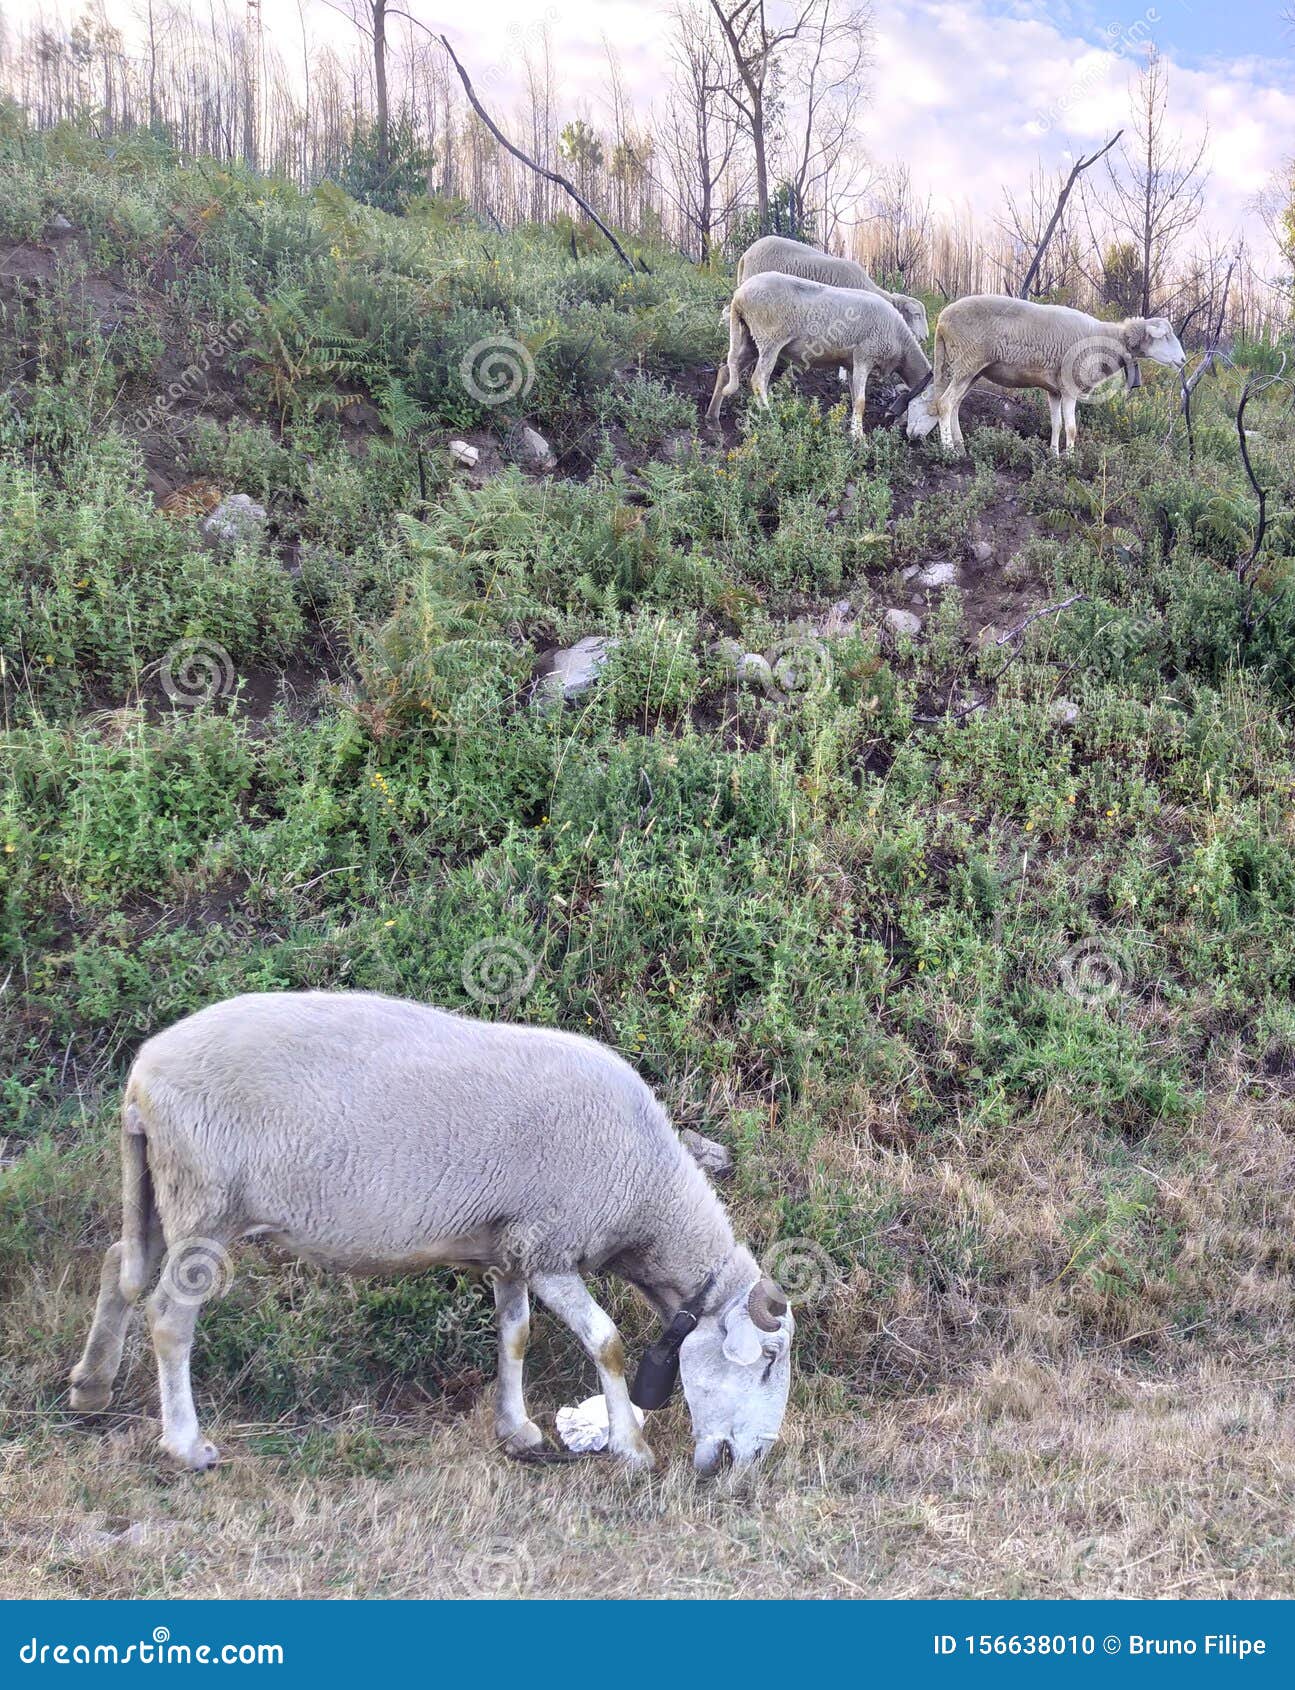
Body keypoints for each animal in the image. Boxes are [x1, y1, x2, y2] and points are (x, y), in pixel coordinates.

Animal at [68, 991, 794, 1476]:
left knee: (120, 1265)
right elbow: (608, 1343)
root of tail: (142, 1072)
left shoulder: (511, 1248)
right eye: (765, 1361)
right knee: (168, 1316)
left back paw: (91, 1389)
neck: (648, 1197)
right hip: (205, 1200)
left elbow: (515, 1334)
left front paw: (518, 1431)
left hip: (162, 1186)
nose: (755, 1458)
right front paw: (631, 1447)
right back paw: (187, 1446)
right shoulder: (549, 1245)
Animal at [708, 235, 928, 423]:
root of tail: (746, 255)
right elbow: (859, 398)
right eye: (917, 315)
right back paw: (768, 415)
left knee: (727, 368)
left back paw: (713, 416)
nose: (926, 337)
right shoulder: (863, 353)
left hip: (751, 336)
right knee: (758, 379)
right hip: (770, 338)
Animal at [932, 294, 1186, 456]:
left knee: (954, 405)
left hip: (971, 369)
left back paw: (960, 447)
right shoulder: (1070, 387)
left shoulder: (1054, 390)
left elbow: (1057, 424)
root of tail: (942, 320)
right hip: (968, 361)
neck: (1107, 339)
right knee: (945, 404)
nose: (1183, 360)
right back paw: (948, 450)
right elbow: (1072, 428)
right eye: (1165, 336)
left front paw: (1053, 455)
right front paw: (1070, 460)